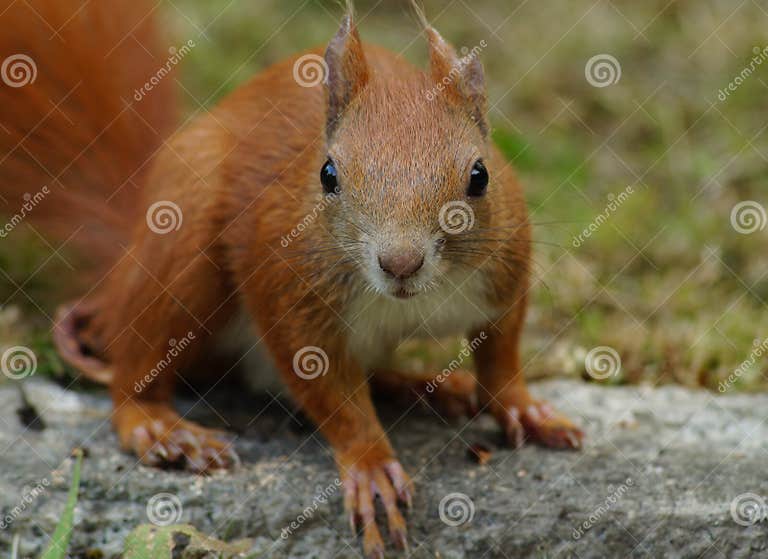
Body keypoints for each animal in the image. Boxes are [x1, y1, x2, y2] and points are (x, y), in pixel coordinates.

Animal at [0, 0, 584, 556]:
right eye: (327, 175)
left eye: (480, 175)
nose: (400, 263)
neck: (410, 301)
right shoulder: (289, 293)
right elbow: (331, 396)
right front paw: (370, 465)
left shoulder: (504, 275)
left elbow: (502, 356)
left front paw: (526, 409)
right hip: (181, 246)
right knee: (135, 365)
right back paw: (159, 425)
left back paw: (423, 387)